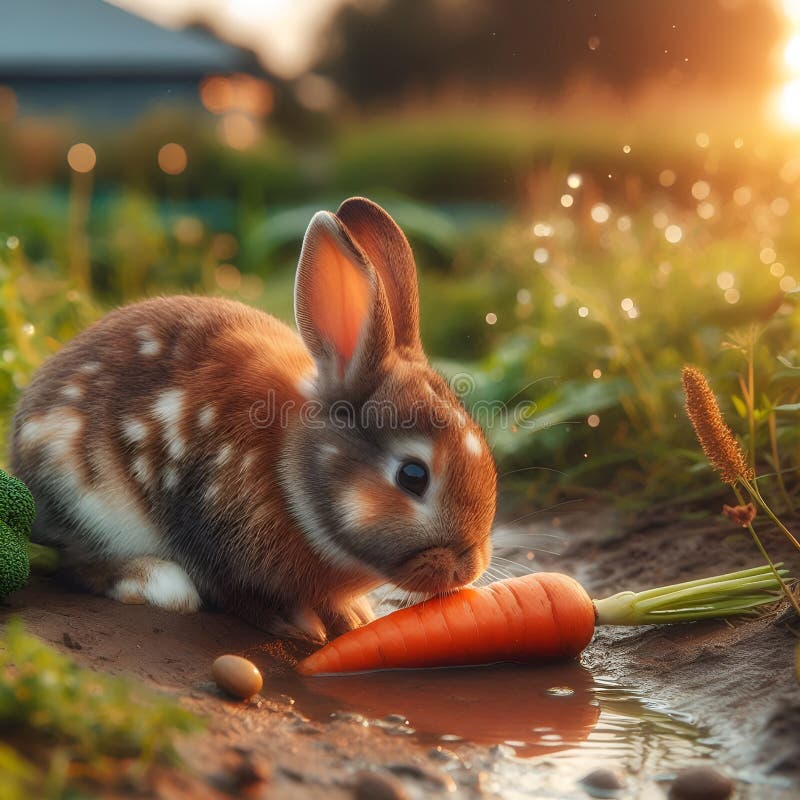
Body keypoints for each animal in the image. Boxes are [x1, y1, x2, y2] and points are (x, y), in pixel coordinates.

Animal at [9, 197, 497, 641]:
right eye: (413, 475)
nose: (468, 567)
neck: (291, 467)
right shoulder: (213, 531)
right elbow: (241, 596)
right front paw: (302, 625)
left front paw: (355, 615)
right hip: (85, 500)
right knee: (79, 564)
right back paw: (162, 584)